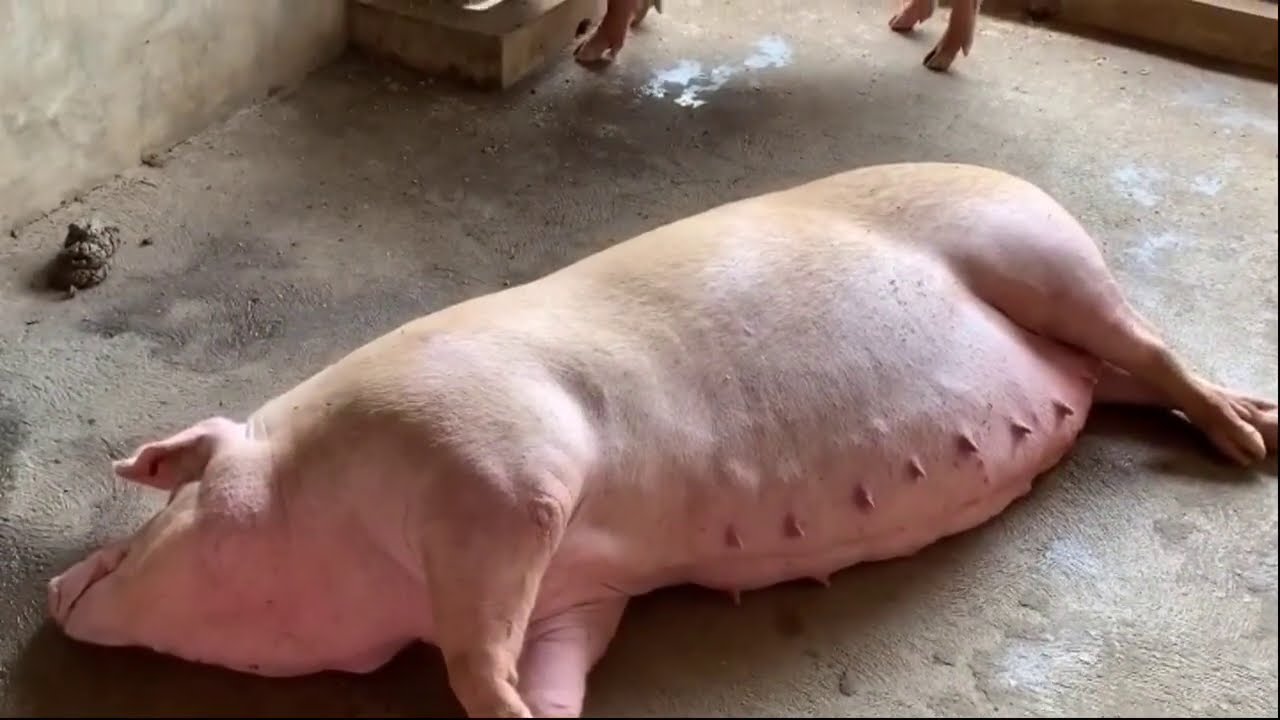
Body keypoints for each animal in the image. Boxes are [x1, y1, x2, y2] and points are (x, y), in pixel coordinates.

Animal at [47, 162, 1277, 718]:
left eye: (161, 503)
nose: (56, 586)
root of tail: (1030, 183)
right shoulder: (581, 597)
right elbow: (548, 667)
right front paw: (537, 713)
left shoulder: (499, 470)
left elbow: (471, 654)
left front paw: (489, 699)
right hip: (1077, 349)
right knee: (1128, 383)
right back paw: (1256, 417)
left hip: (1040, 257)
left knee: (1155, 352)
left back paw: (1247, 449)